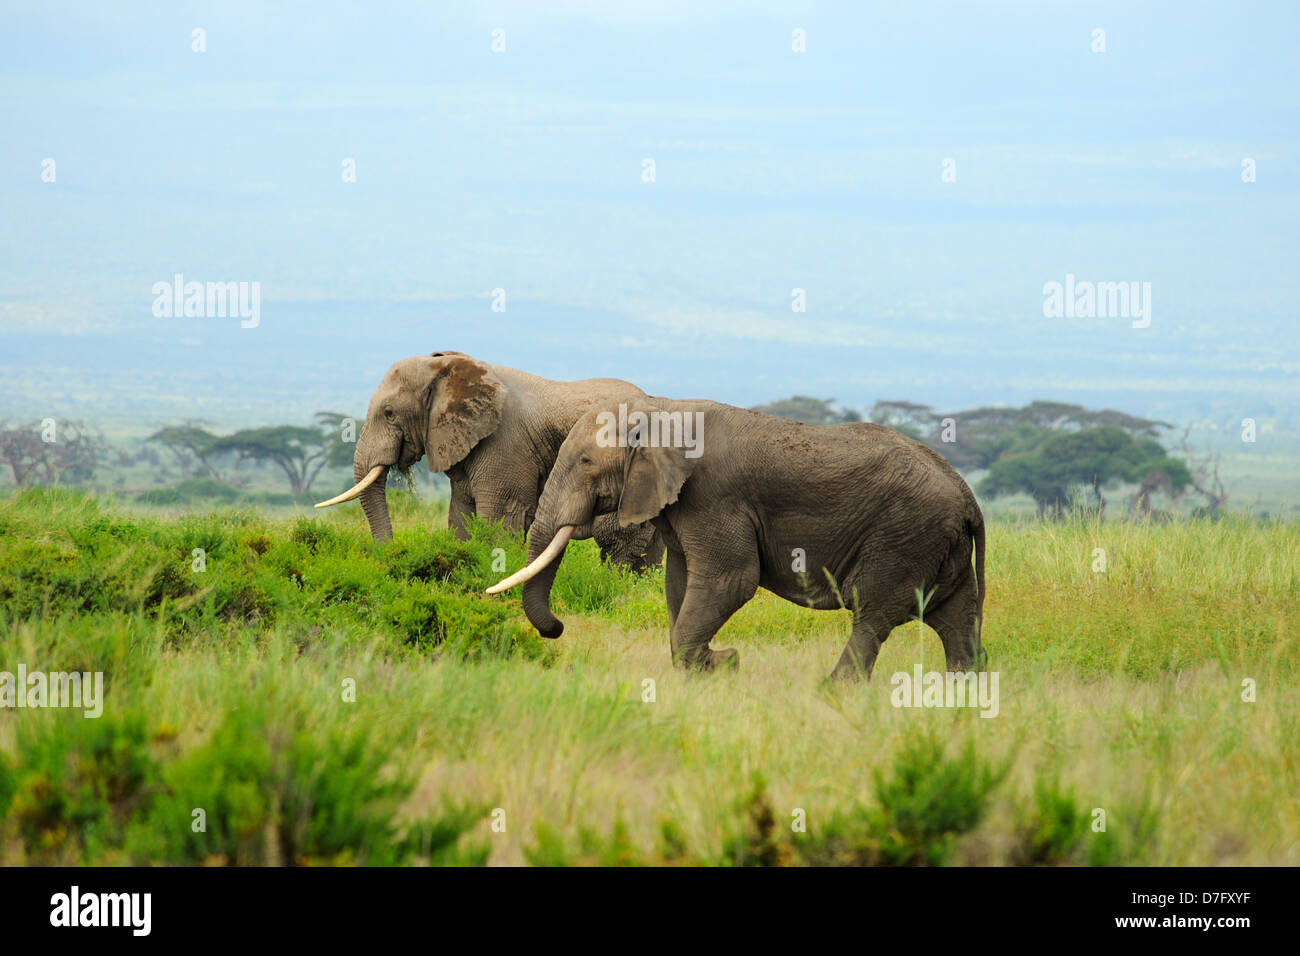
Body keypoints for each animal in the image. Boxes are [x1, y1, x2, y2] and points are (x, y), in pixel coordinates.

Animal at [315, 352, 664, 571]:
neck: (448, 368)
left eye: (388, 412)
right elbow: (460, 514)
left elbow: (500, 516)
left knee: (618, 541)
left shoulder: (506, 445)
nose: (389, 554)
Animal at [487, 397, 986, 679]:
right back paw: (962, 696)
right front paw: (715, 667)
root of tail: (968, 496)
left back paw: (832, 690)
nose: (558, 628)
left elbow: (730, 581)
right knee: (955, 619)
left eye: (586, 462)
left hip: (906, 536)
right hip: (937, 544)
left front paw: (722, 664)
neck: (660, 409)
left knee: (873, 612)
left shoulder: (714, 496)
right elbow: (681, 584)